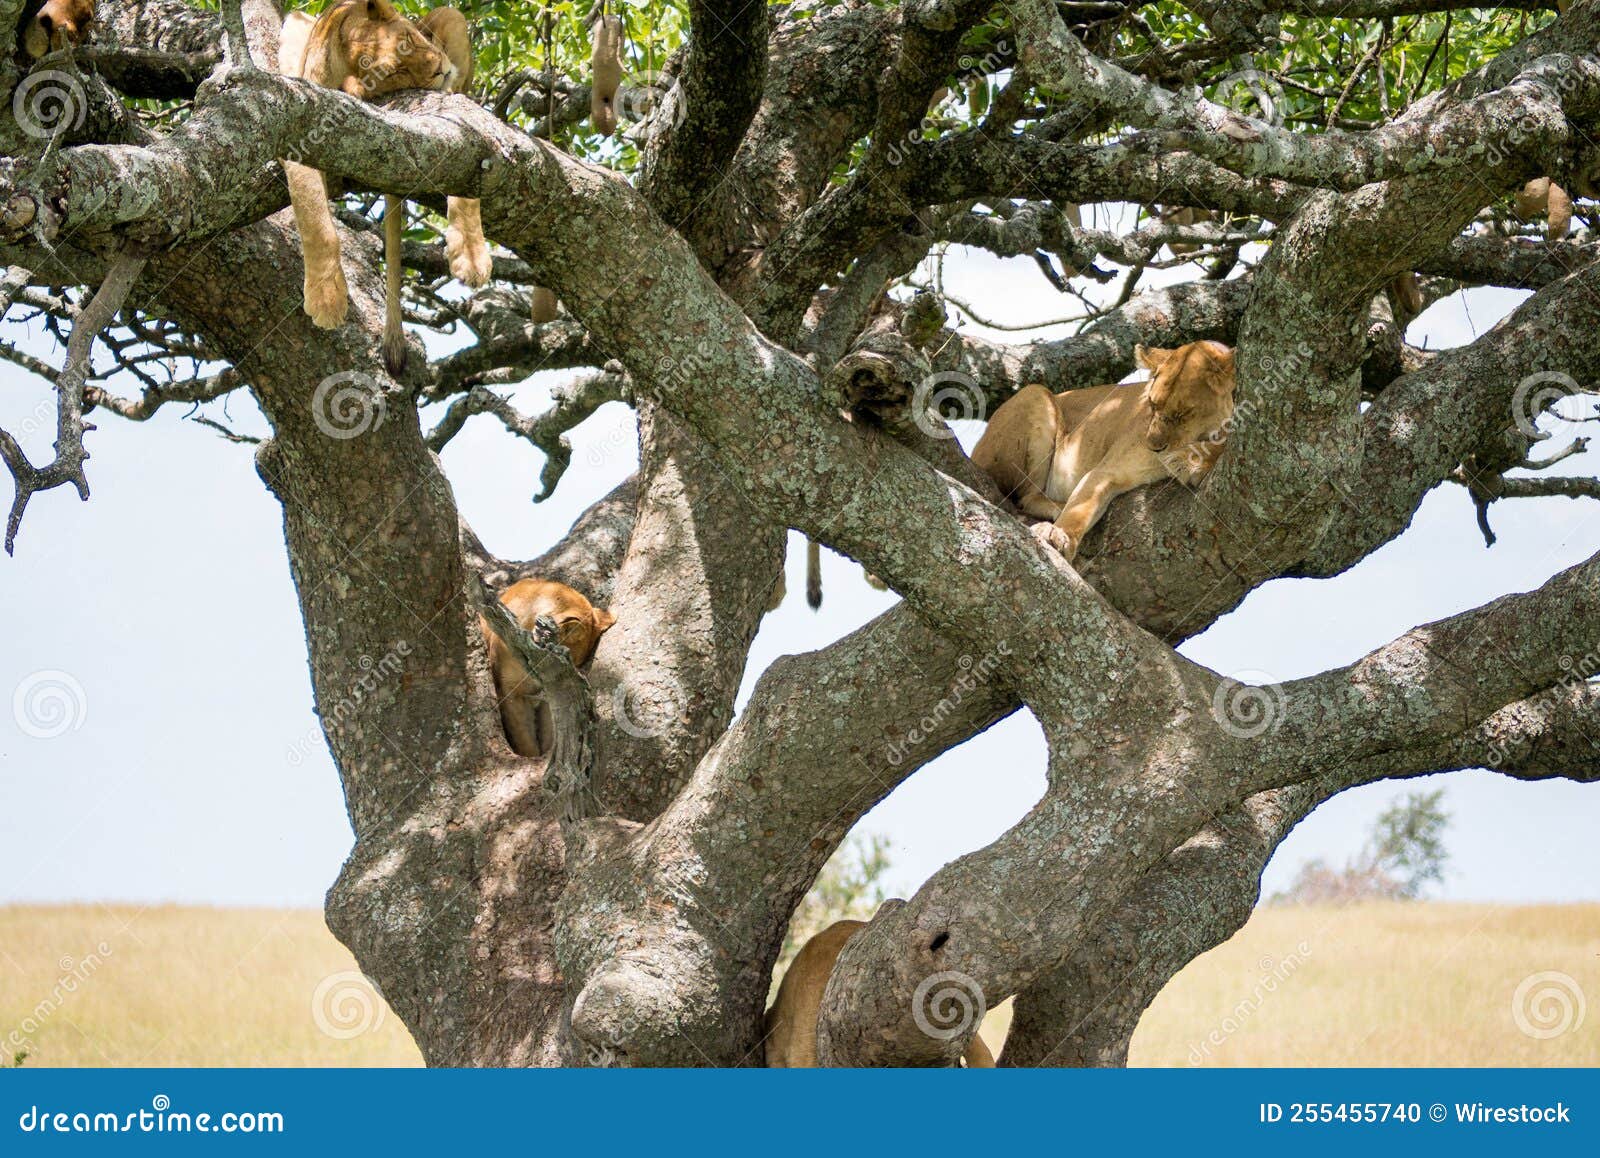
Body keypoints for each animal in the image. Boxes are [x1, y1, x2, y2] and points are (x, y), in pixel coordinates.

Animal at [277, 0, 492, 376]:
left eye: (411, 38)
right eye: (394, 72)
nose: (440, 70)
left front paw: (472, 256)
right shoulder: (298, 128)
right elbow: (316, 221)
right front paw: (327, 297)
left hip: (451, 17)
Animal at [480, 578, 616, 758]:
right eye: (565, 661)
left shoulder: (550, 699)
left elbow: (550, 733)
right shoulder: (509, 693)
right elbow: (523, 738)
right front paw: (533, 757)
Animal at [972, 340, 1236, 562]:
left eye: (1183, 414)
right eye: (1152, 403)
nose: (1153, 446)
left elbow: (1223, 443)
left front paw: (1190, 461)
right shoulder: (1107, 472)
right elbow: (1081, 508)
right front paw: (1059, 536)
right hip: (1037, 394)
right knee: (1027, 497)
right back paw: (1056, 511)